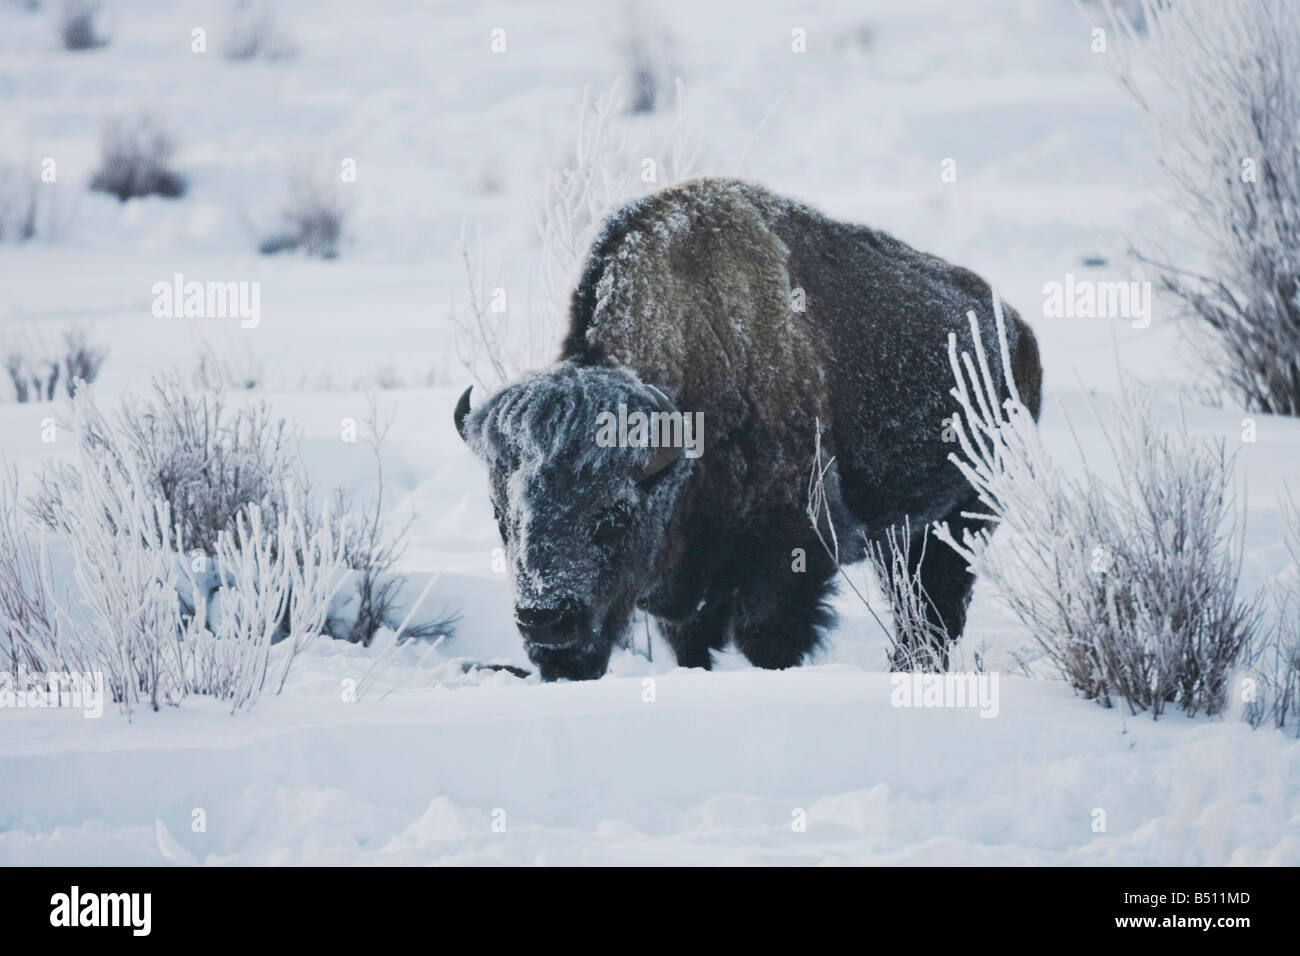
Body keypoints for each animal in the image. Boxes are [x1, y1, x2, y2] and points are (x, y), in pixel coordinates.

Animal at [452, 178, 1040, 681]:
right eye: (501, 515)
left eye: (614, 515)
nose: (545, 622)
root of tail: (1018, 332)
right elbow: (691, 642)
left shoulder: (790, 553)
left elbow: (765, 636)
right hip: (902, 540)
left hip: (959, 520)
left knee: (934, 614)